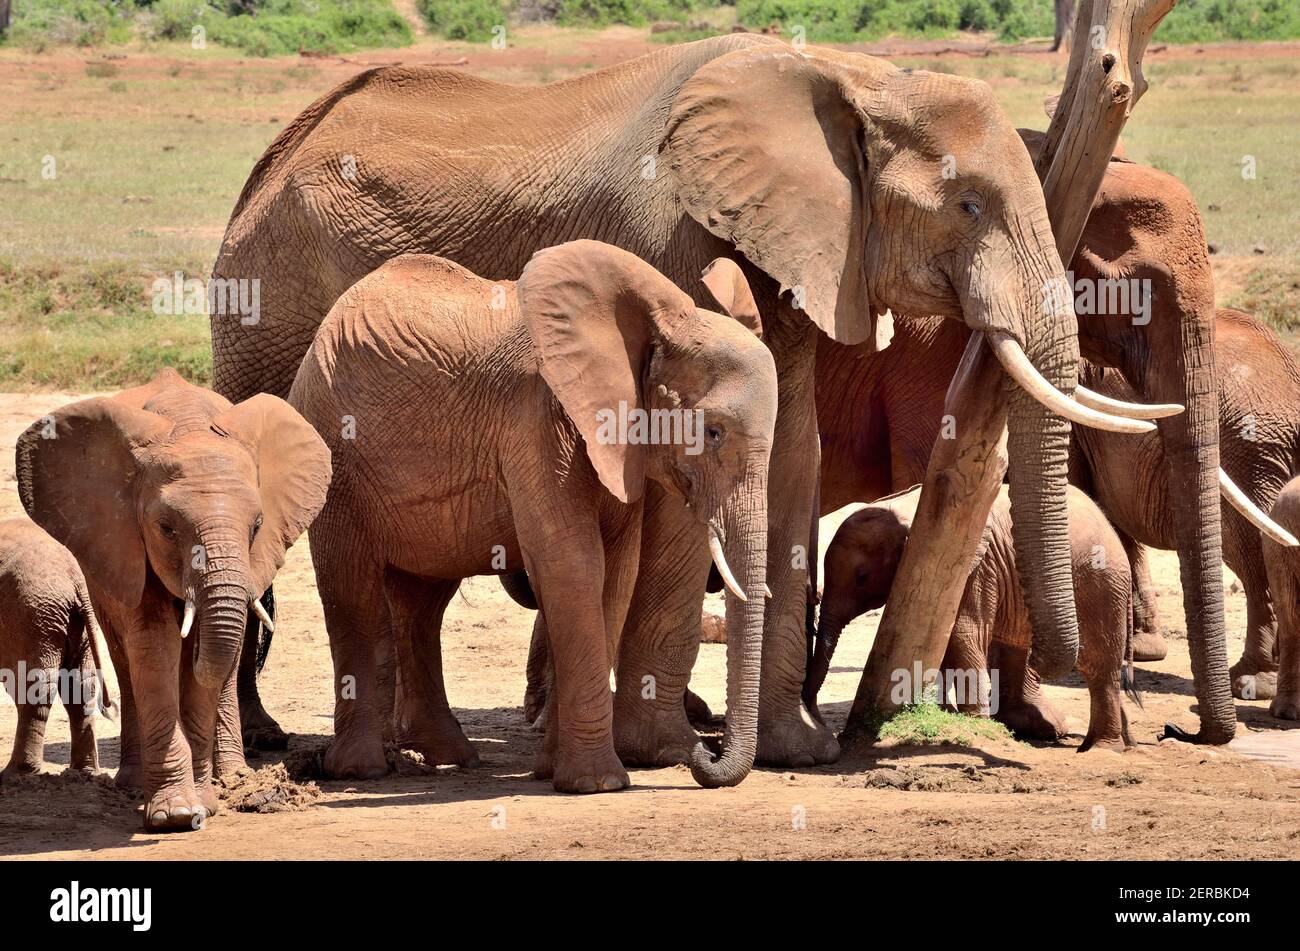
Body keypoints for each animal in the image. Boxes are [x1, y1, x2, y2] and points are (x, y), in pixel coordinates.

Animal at [0, 518, 115, 778]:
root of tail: (76, 579)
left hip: (31, 617)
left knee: (31, 685)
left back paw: (18, 773)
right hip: (71, 621)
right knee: (82, 686)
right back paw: (83, 772)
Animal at [16, 369, 331, 831]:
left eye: (257, 525)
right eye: (165, 528)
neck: (188, 425)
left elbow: (201, 658)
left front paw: (206, 805)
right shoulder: (126, 540)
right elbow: (153, 645)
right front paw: (176, 814)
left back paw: (233, 777)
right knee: (127, 660)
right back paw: (134, 783)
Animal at [288, 242, 777, 791]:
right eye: (713, 432)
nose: (702, 756)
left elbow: (616, 574)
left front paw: (552, 770)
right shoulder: (536, 420)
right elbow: (573, 565)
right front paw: (597, 784)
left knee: (422, 599)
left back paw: (451, 758)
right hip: (332, 449)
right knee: (350, 587)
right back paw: (362, 769)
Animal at [809, 484, 1135, 751]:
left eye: (862, 577)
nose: (831, 733)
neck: (907, 508)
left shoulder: (974, 568)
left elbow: (963, 633)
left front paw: (973, 723)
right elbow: (940, 636)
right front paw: (945, 715)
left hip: (1102, 584)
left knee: (1100, 663)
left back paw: (1101, 748)